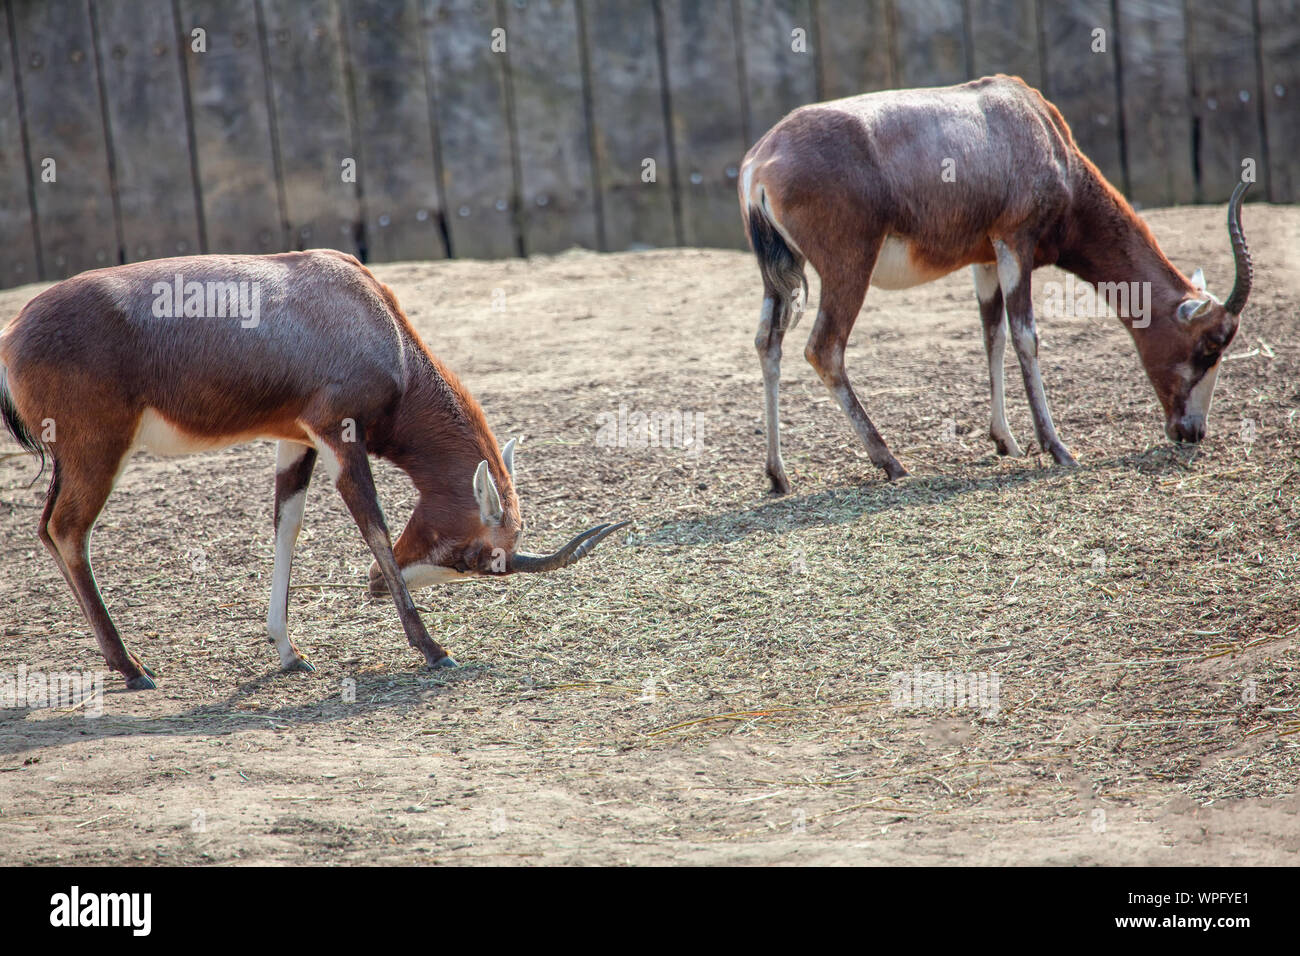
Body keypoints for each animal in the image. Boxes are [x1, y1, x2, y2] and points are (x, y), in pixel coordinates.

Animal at [0, 249, 627, 690]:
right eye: (475, 557)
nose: (373, 586)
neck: (366, 308)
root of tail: (14, 335)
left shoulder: (294, 441)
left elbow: (287, 527)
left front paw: (289, 652)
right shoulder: (340, 438)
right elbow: (373, 526)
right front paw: (434, 650)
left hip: (74, 461)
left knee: (48, 529)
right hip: (98, 454)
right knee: (68, 531)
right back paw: (133, 669)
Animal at [739, 74, 1252, 493]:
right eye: (1210, 346)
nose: (1192, 433)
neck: (1035, 126)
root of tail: (760, 161)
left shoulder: (984, 260)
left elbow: (993, 335)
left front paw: (1006, 441)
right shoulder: (1014, 242)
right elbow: (1026, 336)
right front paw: (1057, 448)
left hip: (780, 275)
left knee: (767, 342)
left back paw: (778, 475)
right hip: (848, 268)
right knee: (824, 349)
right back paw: (891, 463)